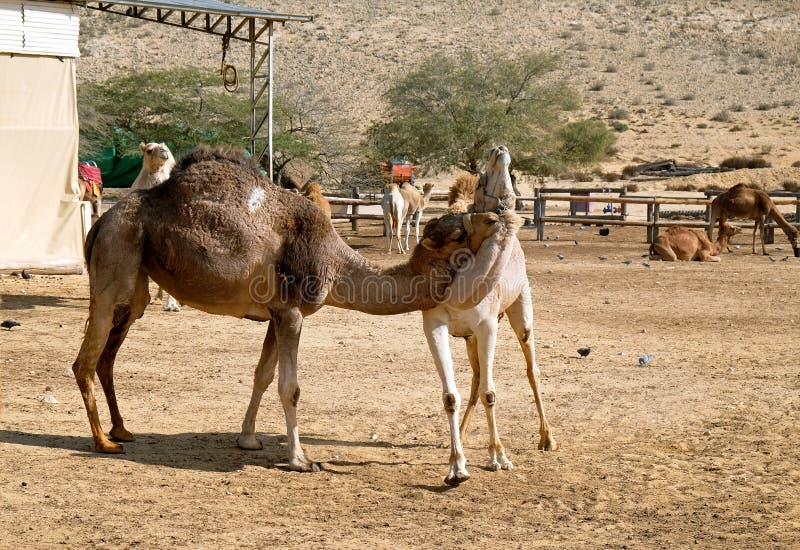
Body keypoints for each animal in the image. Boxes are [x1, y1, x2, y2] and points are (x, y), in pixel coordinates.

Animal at [421, 174, 557, 485]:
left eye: (459, 235)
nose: (495, 219)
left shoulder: (488, 325)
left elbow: (490, 393)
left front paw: (498, 457)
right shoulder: (434, 324)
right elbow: (450, 396)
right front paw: (456, 466)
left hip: (521, 308)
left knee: (532, 370)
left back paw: (547, 439)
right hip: (469, 336)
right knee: (476, 376)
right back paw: (462, 434)